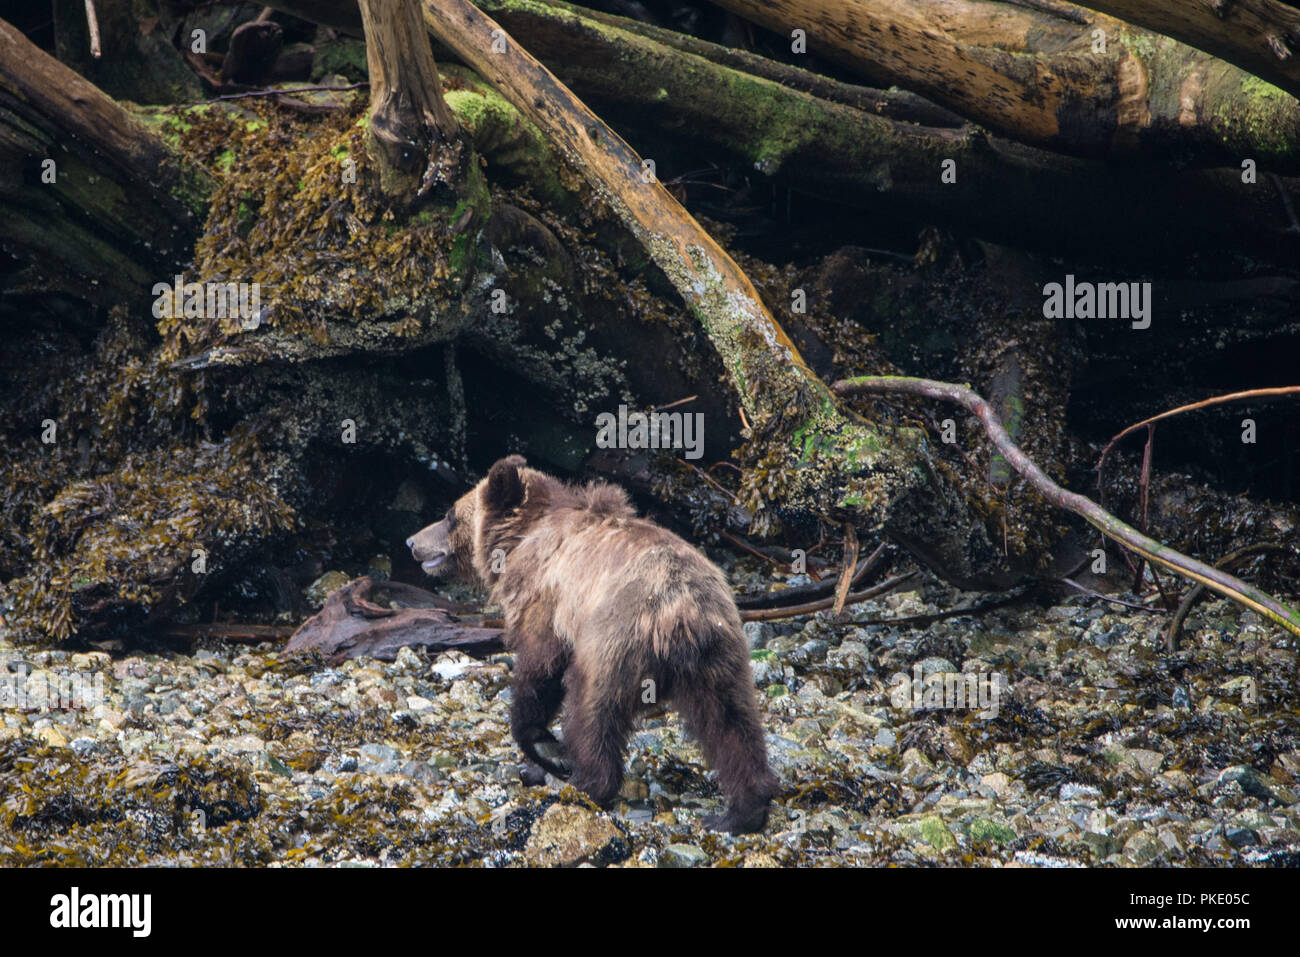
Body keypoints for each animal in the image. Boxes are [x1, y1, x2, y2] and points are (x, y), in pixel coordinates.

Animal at [406, 454, 776, 833]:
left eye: (450, 514)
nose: (412, 541)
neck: (520, 541)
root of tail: (680, 609)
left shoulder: (548, 598)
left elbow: (540, 666)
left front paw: (540, 747)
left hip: (614, 642)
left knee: (591, 711)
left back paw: (585, 786)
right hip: (719, 655)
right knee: (732, 724)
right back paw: (739, 812)